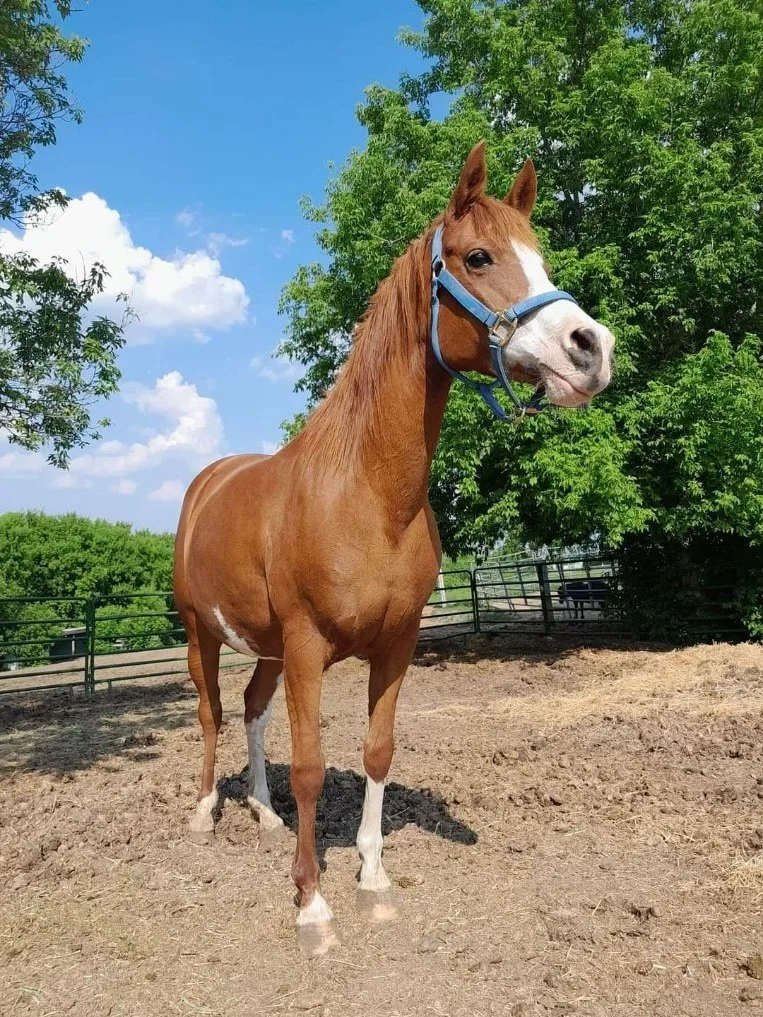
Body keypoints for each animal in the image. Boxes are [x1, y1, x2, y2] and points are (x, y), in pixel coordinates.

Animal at [173, 142, 615, 956]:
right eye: (478, 256)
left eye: (541, 256)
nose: (591, 348)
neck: (366, 496)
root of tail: (208, 481)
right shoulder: (308, 647)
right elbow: (313, 767)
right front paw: (311, 904)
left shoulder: (396, 643)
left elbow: (377, 750)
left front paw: (372, 878)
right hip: (201, 635)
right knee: (213, 713)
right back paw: (203, 812)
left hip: (265, 647)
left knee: (250, 713)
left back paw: (263, 813)